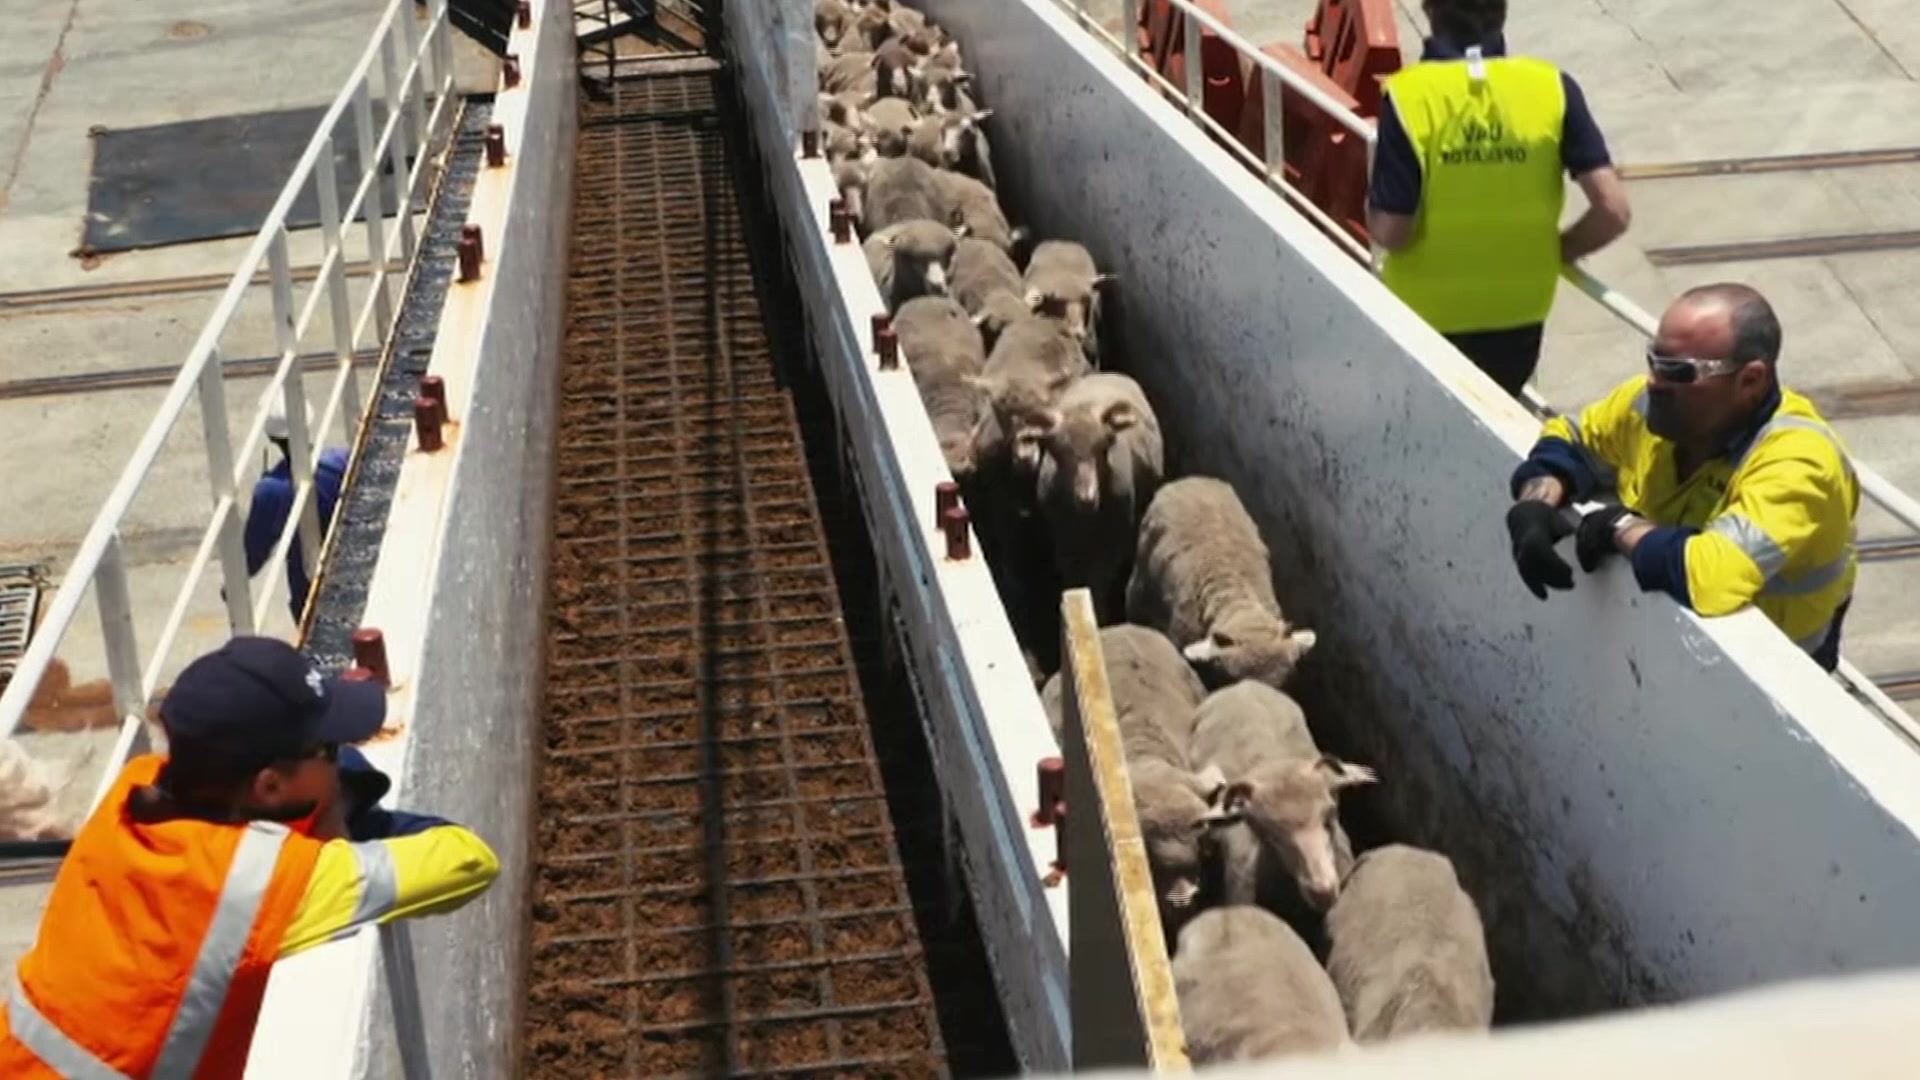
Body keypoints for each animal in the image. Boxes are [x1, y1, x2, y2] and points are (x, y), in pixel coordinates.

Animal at [1033, 374, 1164, 623]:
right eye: (1057, 451)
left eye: (1104, 445)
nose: (1087, 497)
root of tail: (1106, 374)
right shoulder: (1065, 543)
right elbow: (1074, 580)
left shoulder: (1112, 546)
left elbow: (1099, 584)